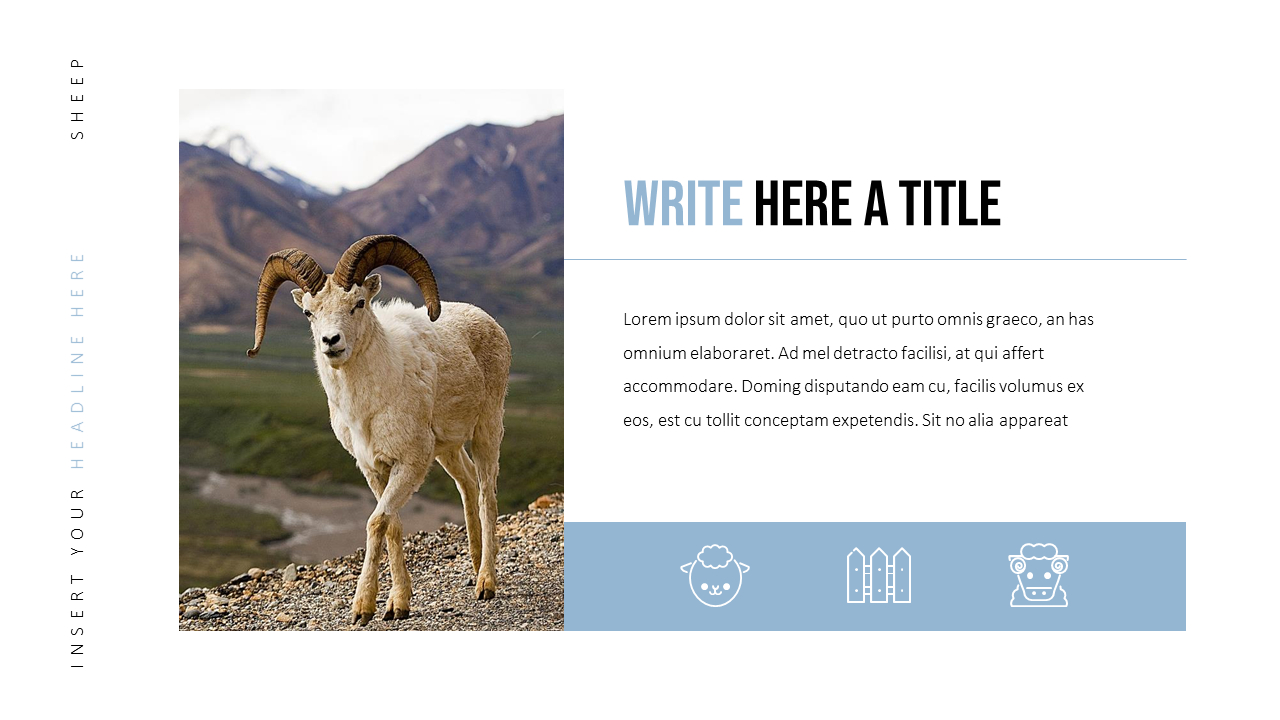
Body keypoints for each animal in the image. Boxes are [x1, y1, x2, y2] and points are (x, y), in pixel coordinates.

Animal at [247, 235, 511, 625]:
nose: (331, 342)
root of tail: (489, 322)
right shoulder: (374, 468)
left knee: (487, 497)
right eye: (309, 312)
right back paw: (474, 567)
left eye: (358, 303)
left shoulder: (410, 464)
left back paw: (485, 584)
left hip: (486, 431)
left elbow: (376, 523)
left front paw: (363, 609)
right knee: (467, 485)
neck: (366, 409)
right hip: (448, 449)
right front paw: (397, 605)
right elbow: (393, 525)